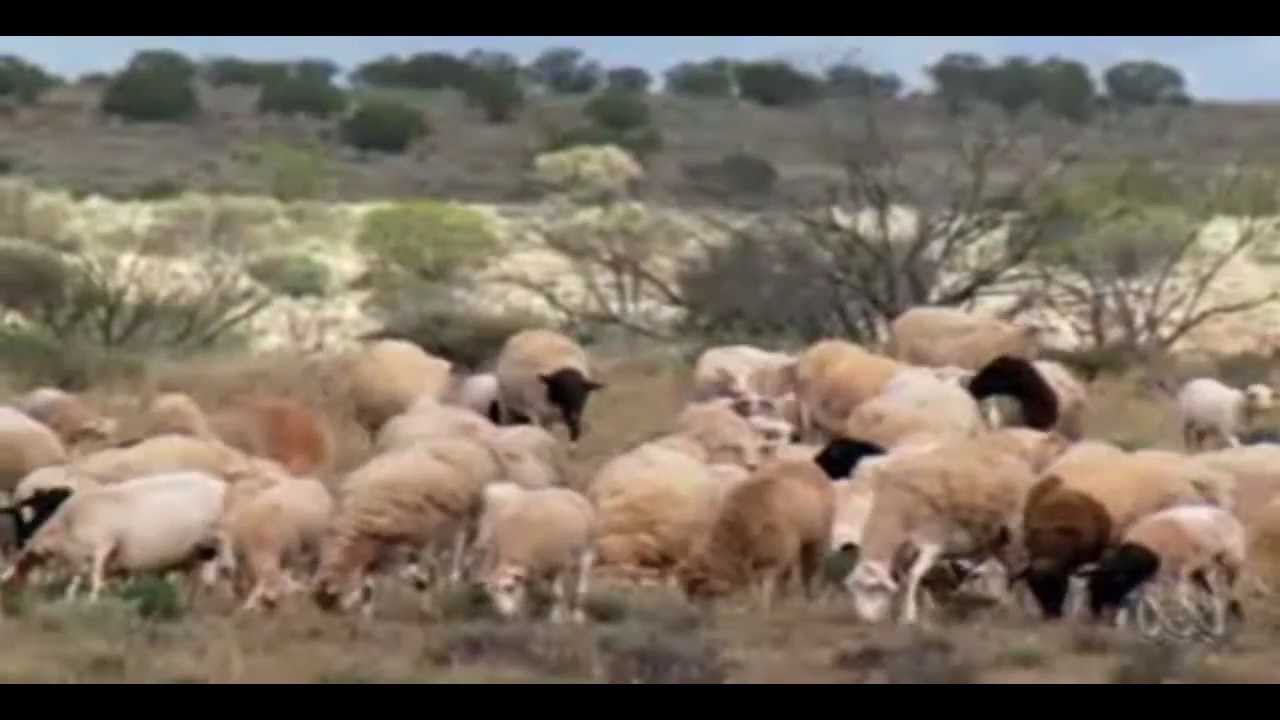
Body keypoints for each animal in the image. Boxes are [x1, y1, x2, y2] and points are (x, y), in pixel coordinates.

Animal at [3, 471, 227, 602]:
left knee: (211, 573)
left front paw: (92, 600)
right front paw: (71, 596)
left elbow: (95, 575)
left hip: (213, 543)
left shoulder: (103, 544)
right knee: (197, 575)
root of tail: (220, 485)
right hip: (196, 551)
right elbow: (79, 577)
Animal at [474, 483, 597, 623]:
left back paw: (577, 613)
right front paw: (526, 615)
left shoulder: (559, 563)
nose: (505, 615)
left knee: (582, 579)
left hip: (587, 550)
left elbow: (557, 594)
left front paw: (556, 618)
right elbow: (533, 593)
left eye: (509, 588)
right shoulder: (536, 566)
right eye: (491, 593)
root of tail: (571, 492)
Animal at [676, 456, 835, 611]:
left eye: (698, 586)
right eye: (686, 591)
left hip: (817, 539)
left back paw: (809, 597)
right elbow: (753, 584)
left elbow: (765, 583)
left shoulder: (773, 555)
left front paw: (763, 606)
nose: (692, 612)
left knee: (809, 571)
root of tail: (807, 462)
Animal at [1083, 505, 1246, 639]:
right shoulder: (1151, 578)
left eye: (1105, 584)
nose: (1094, 612)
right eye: (1092, 586)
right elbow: (1151, 602)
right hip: (1203, 569)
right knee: (1213, 593)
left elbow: (1179, 600)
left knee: (1227, 589)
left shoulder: (1177, 572)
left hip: (1230, 561)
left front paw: (1185, 627)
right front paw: (1151, 628)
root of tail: (1228, 515)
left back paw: (1226, 617)